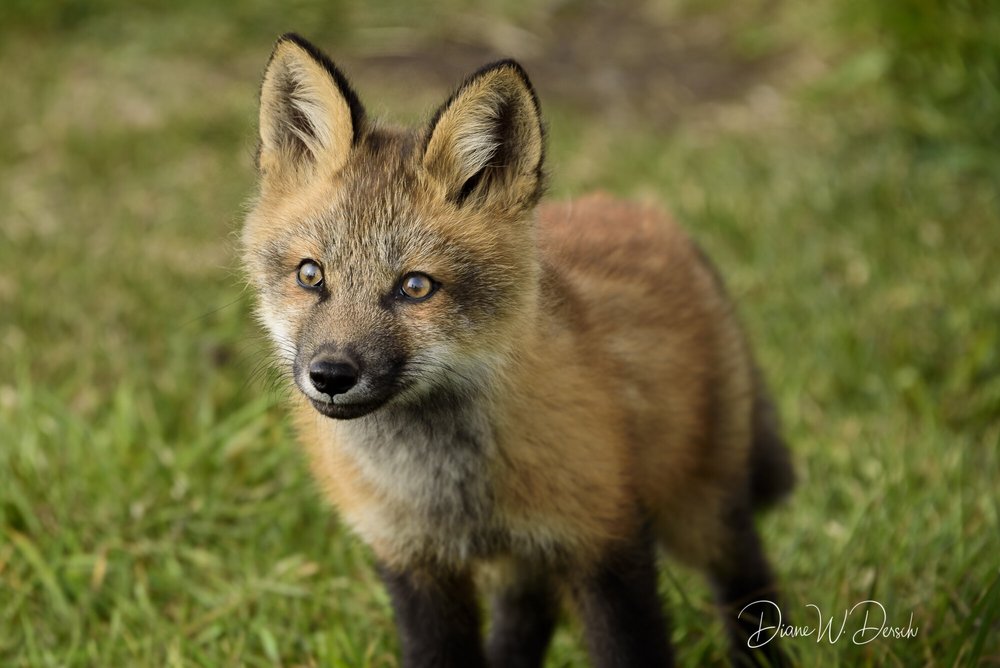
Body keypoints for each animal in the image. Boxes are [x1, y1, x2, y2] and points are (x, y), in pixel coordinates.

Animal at [242, 33, 795, 668]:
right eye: (311, 275)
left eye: (415, 287)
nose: (330, 374)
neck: (451, 492)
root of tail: (649, 213)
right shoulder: (413, 563)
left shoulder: (606, 537)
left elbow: (632, 648)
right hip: (527, 562)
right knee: (525, 618)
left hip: (699, 507)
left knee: (748, 579)